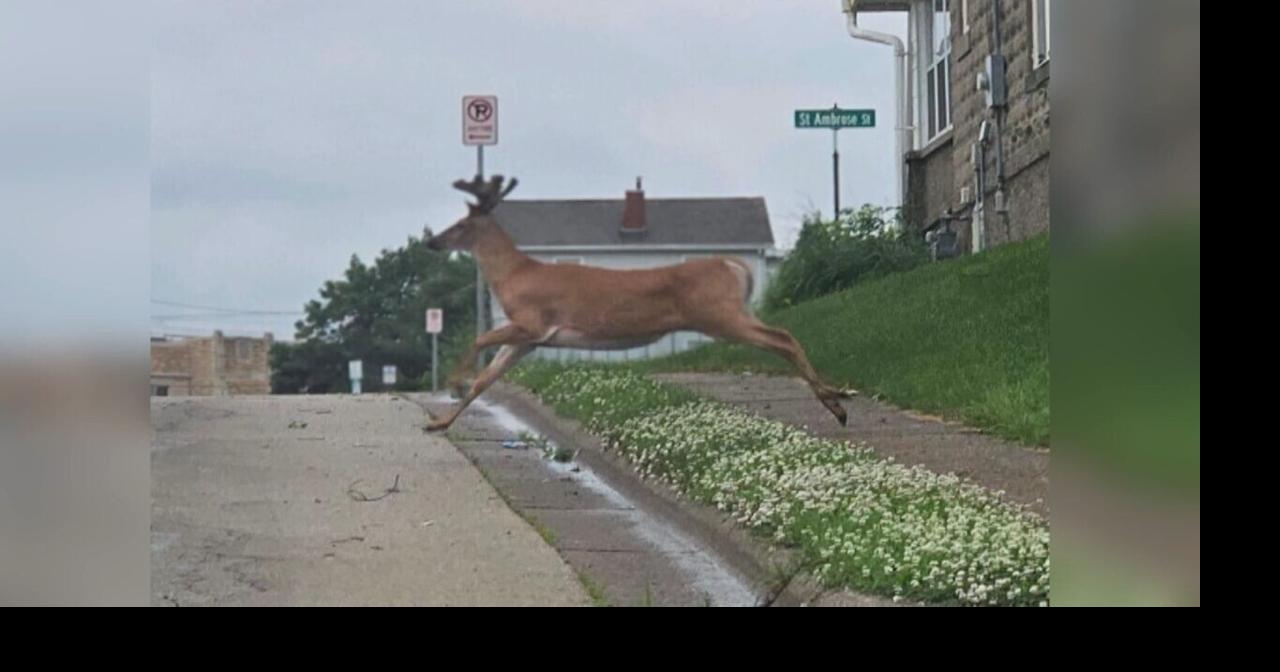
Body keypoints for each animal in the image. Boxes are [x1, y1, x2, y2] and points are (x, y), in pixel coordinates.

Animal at [422, 175, 853, 432]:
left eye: (460, 225)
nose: (431, 242)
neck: (513, 275)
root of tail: (734, 266)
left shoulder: (532, 321)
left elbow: (478, 342)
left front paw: (452, 386)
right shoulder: (530, 340)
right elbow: (487, 378)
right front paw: (440, 422)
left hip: (719, 315)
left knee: (782, 336)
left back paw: (836, 404)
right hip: (729, 313)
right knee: (783, 334)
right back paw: (837, 398)